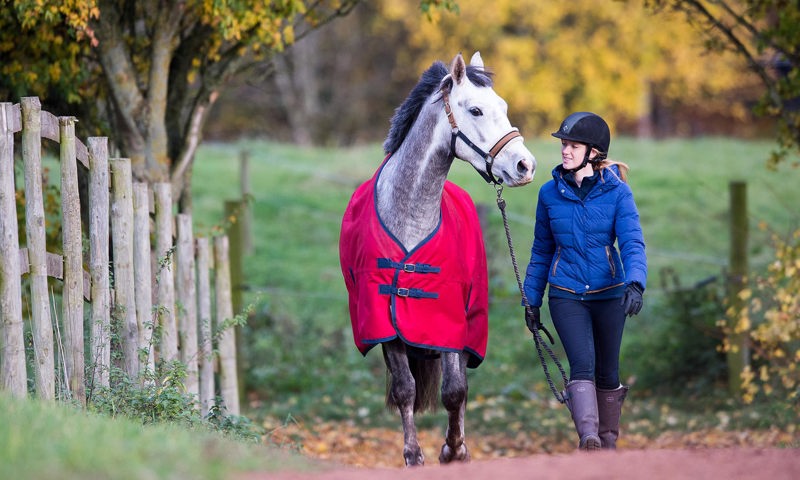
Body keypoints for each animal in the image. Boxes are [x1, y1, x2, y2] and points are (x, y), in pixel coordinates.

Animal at [339, 52, 536, 466]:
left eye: (503, 107)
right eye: (475, 110)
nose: (525, 166)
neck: (412, 215)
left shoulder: (449, 322)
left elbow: (455, 391)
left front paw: (454, 449)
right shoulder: (384, 322)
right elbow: (405, 390)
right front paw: (414, 455)